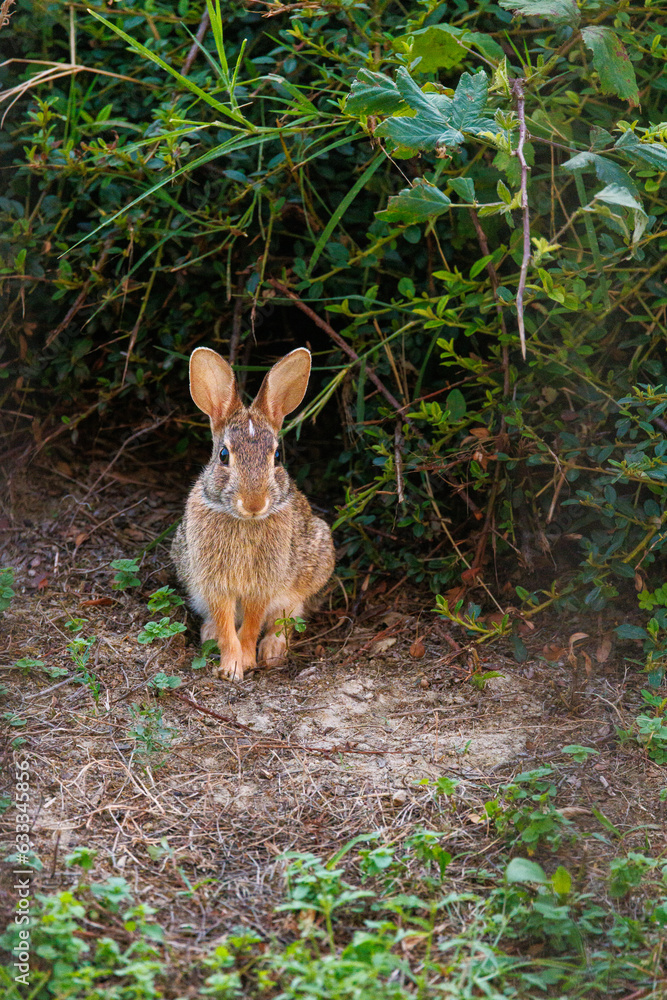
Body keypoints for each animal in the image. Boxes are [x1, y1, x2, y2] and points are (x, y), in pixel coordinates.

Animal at [171, 346, 335, 681]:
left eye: (277, 456)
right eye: (224, 455)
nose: (254, 503)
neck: (244, 521)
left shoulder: (264, 584)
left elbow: (252, 623)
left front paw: (244, 661)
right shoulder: (214, 583)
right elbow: (225, 622)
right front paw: (231, 667)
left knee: (286, 620)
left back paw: (272, 652)